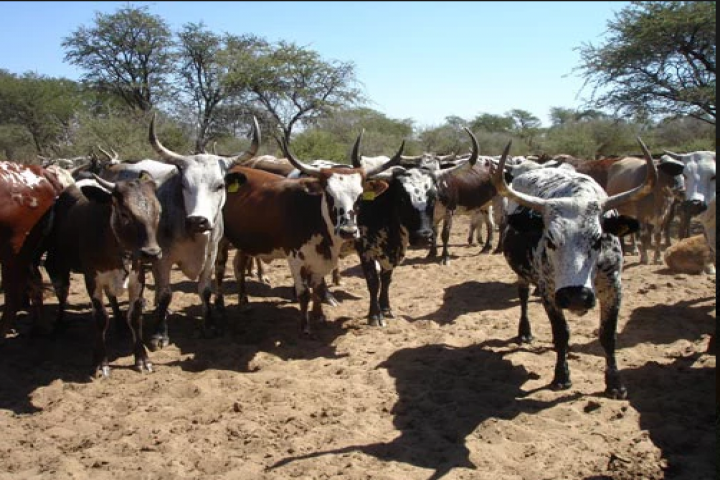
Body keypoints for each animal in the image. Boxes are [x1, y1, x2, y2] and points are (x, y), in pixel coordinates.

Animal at [42, 174, 162, 377]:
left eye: (158, 211)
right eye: (124, 213)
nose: (151, 253)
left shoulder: (137, 278)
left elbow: (135, 317)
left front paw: (142, 358)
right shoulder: (93, 279)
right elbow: (100, 318)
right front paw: (101, 362)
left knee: (112, 297)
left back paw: (120, 324)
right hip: (57, 263)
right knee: (62, 295)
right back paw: (58, 325)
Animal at [99, 113, 260, 350]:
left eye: (220, 185)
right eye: (184, 184)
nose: (198, 221)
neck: (194, 237)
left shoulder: (210, 256)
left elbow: (205, 290)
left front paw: (209, 325)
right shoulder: (163, 258)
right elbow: (166, 294)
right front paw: (160, 333)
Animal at [216, 135, 402, 334]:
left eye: (360, 197)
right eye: (329, 195)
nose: (348, 231)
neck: (314, 216)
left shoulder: (320, 258)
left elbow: (318, 288)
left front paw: (319, 315)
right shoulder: (296, 258)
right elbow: (304, 293)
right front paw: (305, 326)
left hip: (245, 241)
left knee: (238, 266)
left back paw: (244, 303)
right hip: (220, 242)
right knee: (219, 270)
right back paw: (220, 309)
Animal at [491, 138, 657, 398]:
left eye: (598, 240)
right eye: (550, 240)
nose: (576, 296)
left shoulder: (613, 287)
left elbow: (608, 336)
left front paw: (615, 383)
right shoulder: (549, 291)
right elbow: (561, 333)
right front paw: (561, 376)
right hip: (523, 273)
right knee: (523, 295)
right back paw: (525, 331)